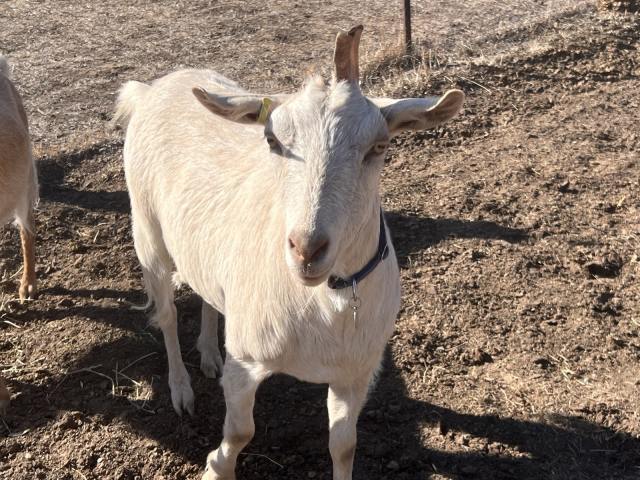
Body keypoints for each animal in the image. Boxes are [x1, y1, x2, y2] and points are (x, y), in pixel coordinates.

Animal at [115, 26, 463, 480]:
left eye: (379, 146)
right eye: (271, 139)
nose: (306, 248)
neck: (328, 300)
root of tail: (151, 88)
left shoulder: (356, 372)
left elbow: (345, 446)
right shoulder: (247, 358)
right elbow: (241, 431)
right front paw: (215, 466)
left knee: (208, 293)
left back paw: (209, 353)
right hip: (148, 232)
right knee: (167, 315)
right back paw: (181, 390)